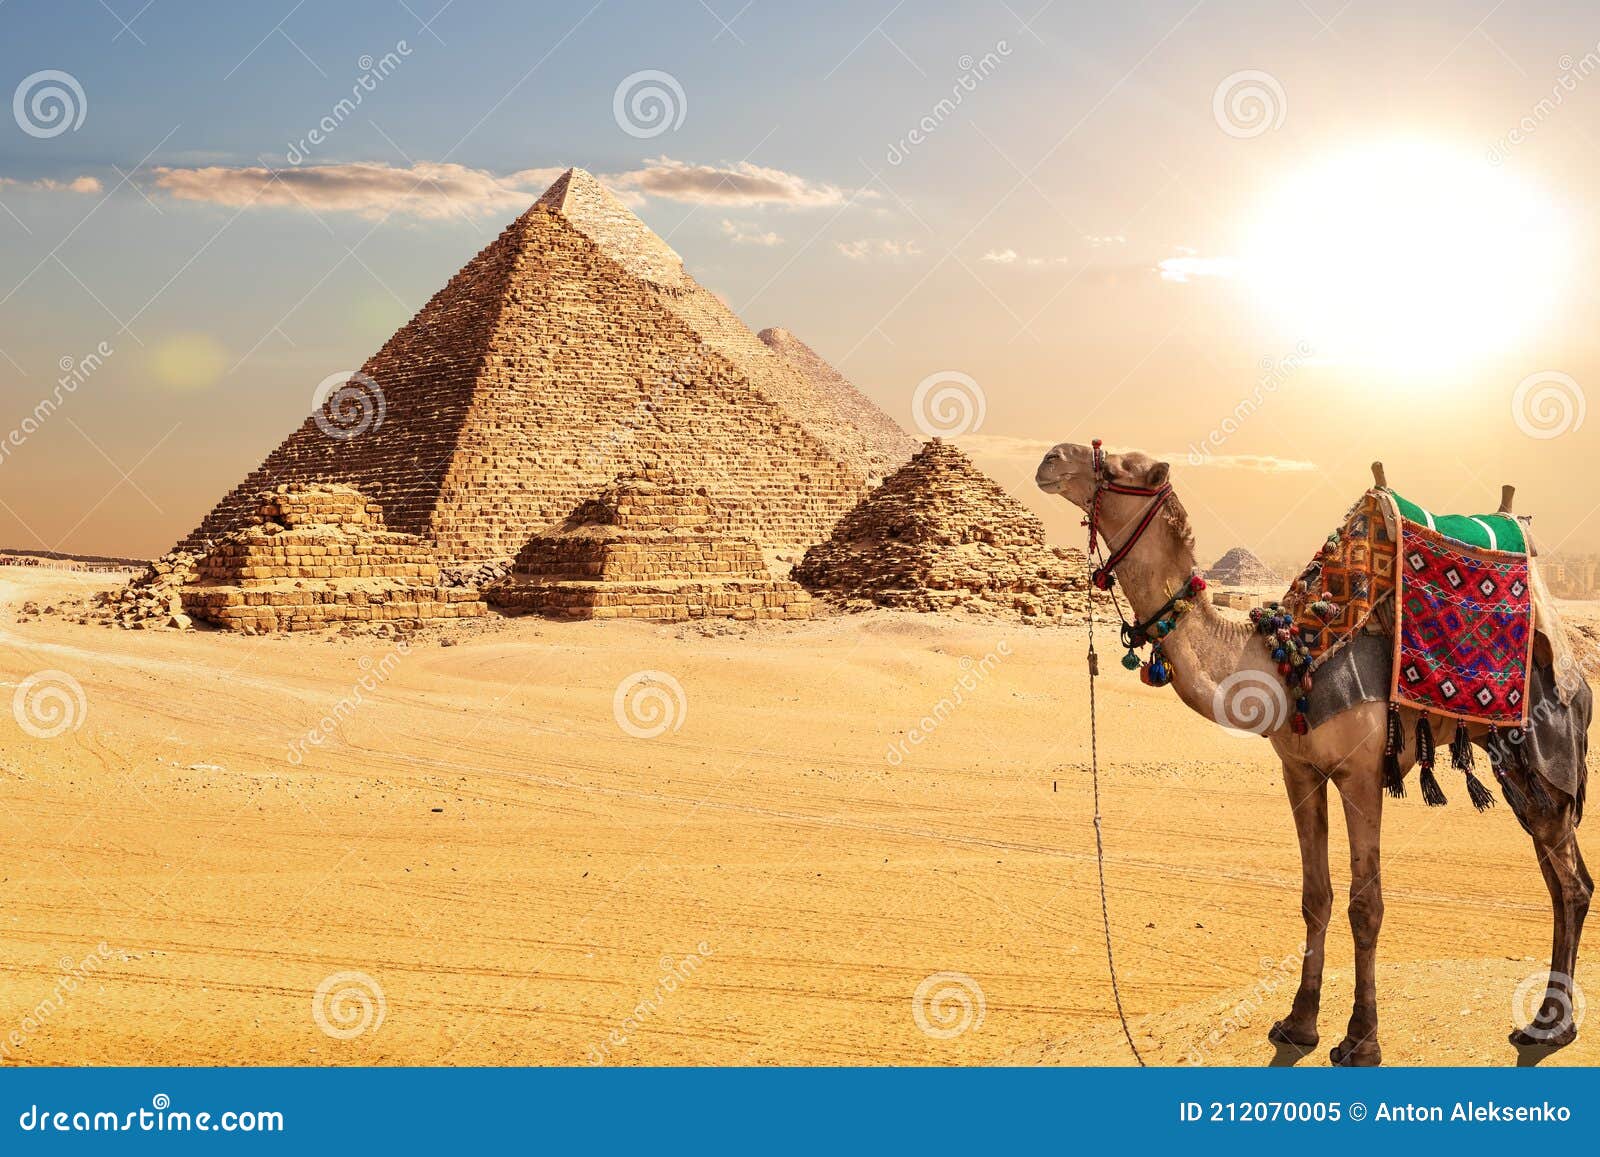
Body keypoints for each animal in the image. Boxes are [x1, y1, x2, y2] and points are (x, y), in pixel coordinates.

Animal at [1035, 441, 1592, 1066]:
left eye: (1122, 467)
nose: (1051, 458)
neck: (1285, 662)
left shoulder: (1361, 774)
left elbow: (1365, 905)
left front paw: (1361, 1038)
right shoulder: (1300, 771)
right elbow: (1315, 896)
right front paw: (1299, 1023)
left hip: (1548, 749)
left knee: (1572, 885)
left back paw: (1548, 1025)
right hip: (1519, 768)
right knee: (1561, 881)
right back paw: (1548, 1017)